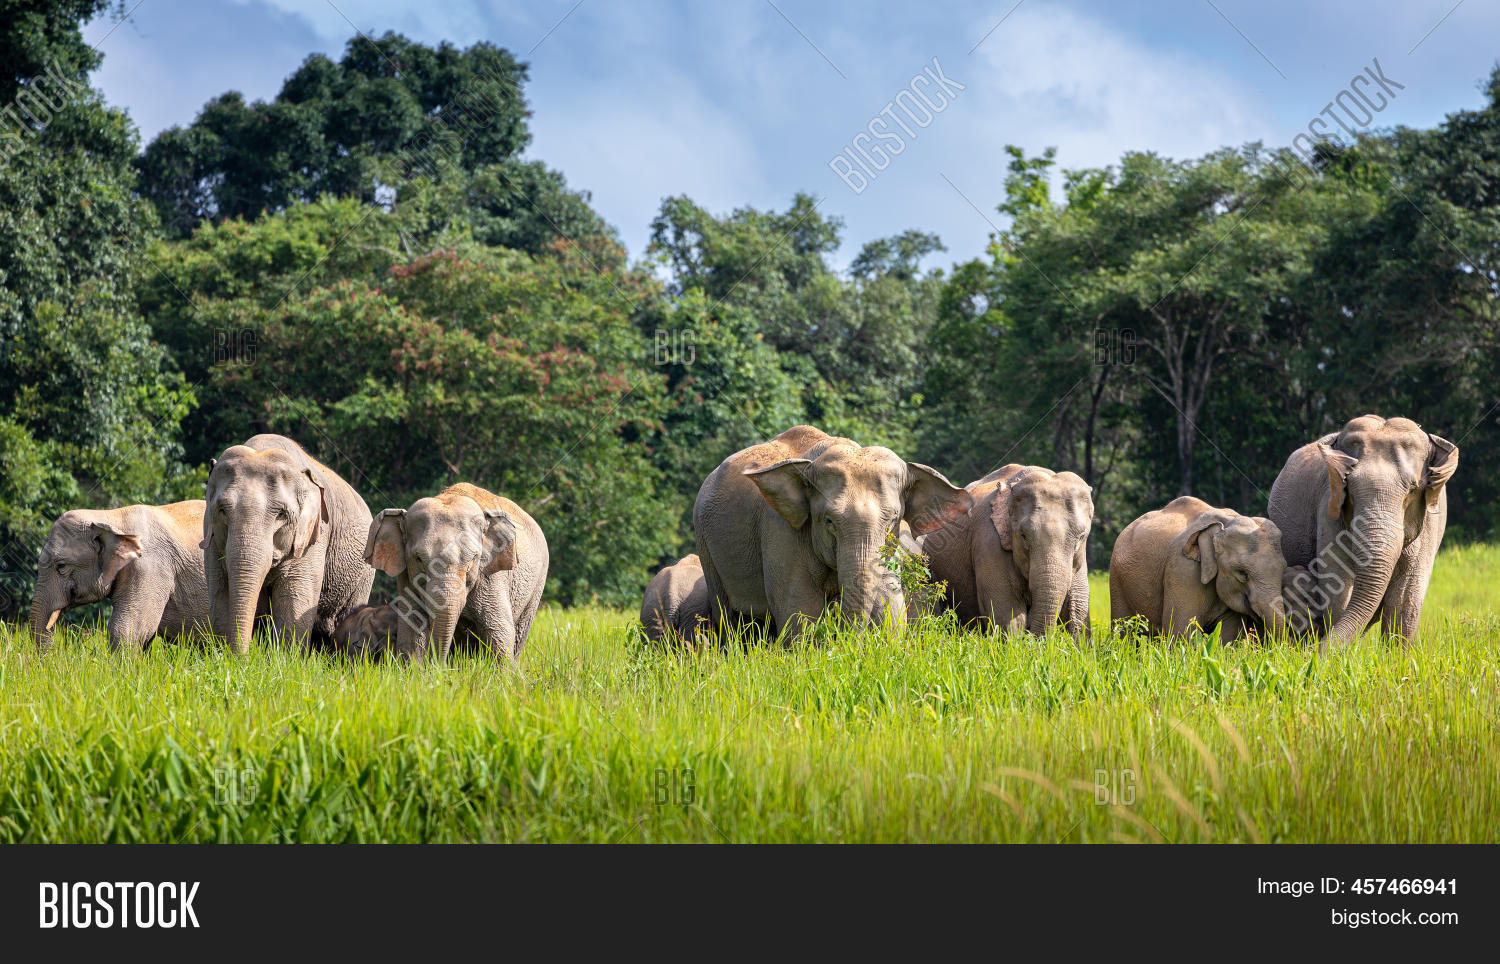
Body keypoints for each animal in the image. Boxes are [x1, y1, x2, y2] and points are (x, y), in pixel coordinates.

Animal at [202, 434, 374, 654]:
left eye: (281, 515)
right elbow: (220, 596)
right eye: (222, 510)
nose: (243, 658)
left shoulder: (312, 537)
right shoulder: (211, 536)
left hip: (363, 575)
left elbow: (293, 601)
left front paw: (285, 657)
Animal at [364, 482, 548, 662]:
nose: (438, 666)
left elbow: (498, 629)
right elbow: (412, 628)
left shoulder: (490, 576)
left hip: (537, 584)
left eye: (473, 559)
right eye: (419, 559)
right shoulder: (407, 577)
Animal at [693, 425, 972, 638]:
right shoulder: (780, 530)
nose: (852, 642)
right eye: (829, 521)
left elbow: (889, 603)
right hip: (705, 546)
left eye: (892, 520)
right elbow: (799, 610)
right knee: (729, 619)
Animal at [1109, 496, 1289, 640]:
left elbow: (1226, 635)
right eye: (1242, 573)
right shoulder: (1183, 569)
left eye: (1284, 569)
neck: (1225, 522)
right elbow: (1181, 632)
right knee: (1125, 633)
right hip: (1116, 578)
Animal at [1266, 415, 1458, 650]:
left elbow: (1406, 597)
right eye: (1349, 487)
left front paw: (1395, 657)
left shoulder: (1431, 522)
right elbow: (1338, 587)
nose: (1314, 654)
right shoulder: (1329, 508)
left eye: (1412, 490)